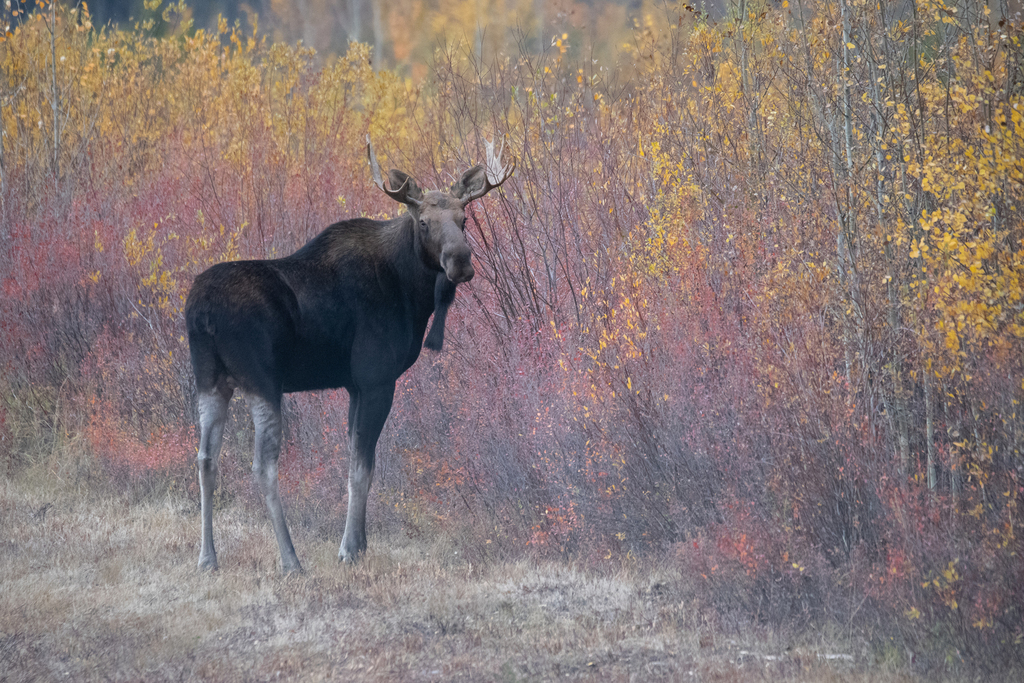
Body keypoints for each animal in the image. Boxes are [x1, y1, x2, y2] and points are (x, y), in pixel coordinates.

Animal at [184, 138, 514, 572]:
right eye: (424, 222)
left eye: (464, 219)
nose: (460, 262)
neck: (412, 293)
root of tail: (201, 311)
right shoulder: (376, 380)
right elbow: (361, 469)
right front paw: (348, 549)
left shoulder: (353, 386)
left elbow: (358, 466)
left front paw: (361, 543)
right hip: (262, 382)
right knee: (263, 466)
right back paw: (290, 559)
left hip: (209, 380)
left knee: (206, 459)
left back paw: (207, 558)